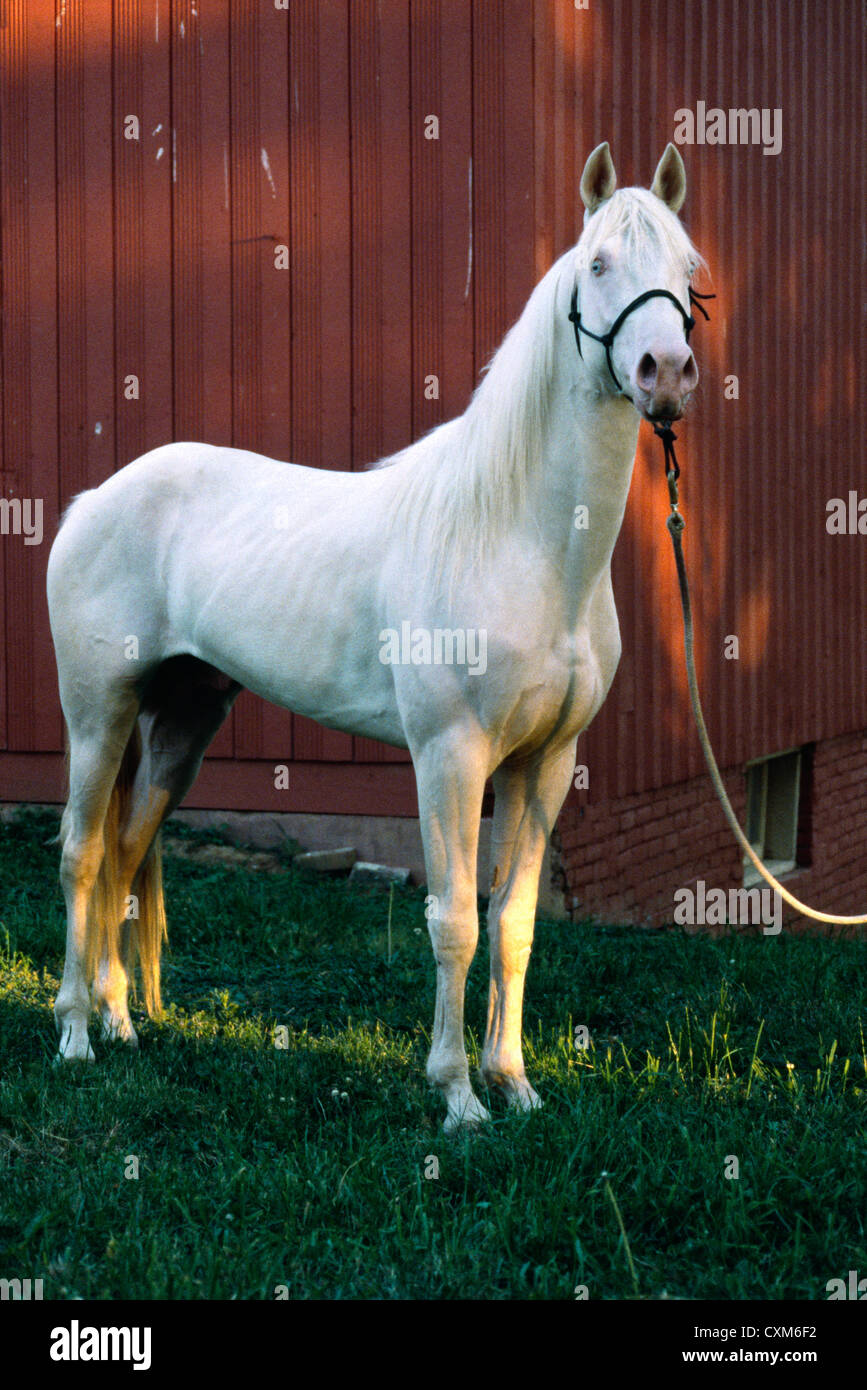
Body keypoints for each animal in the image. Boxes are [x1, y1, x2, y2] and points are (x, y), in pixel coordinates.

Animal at [47, 142, 706, 1132]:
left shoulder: (545, 762)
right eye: (597, 265)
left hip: (181, 725)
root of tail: (96, 497)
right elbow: (455, 921)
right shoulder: (450, 756)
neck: (518, 537)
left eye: (687, 269)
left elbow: (513, 924)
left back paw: (121, 1023)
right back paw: (75, 1035)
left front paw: (515, 1084)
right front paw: (457, 1097)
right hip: (98, 716)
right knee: (83, 857)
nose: (663, 372)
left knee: (127, 853)